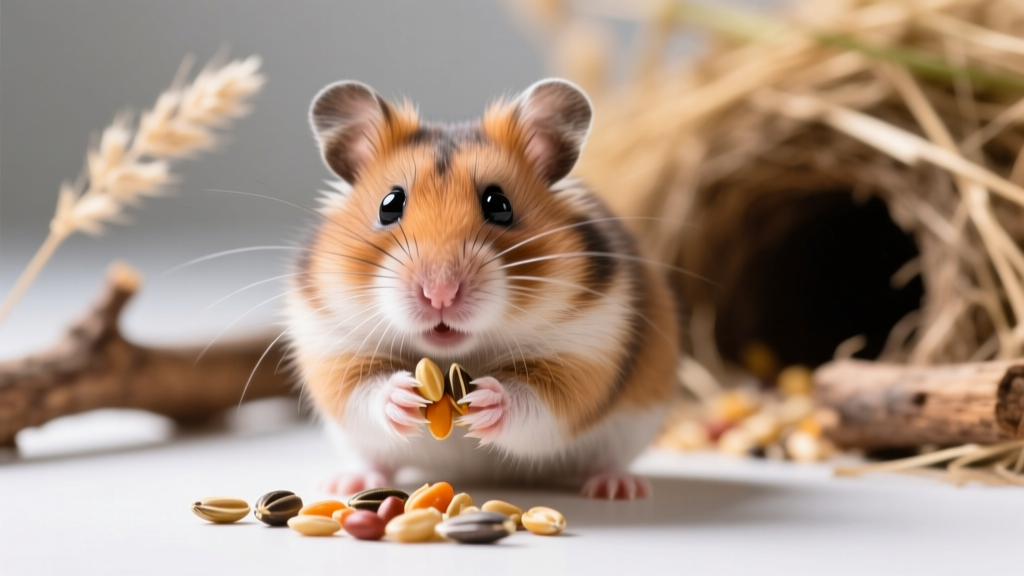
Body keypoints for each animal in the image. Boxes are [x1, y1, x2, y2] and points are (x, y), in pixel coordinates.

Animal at [286, 78, 679, 499]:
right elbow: (361, 392)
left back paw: (617, 487)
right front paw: (405, 393)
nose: (440, 293)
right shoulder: (332, 348)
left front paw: (483, 401)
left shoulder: (586, 352)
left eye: (499, 204)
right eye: (389, 205)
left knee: (607, 461)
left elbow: (541, 401)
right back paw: (345, 484)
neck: (456, 353)